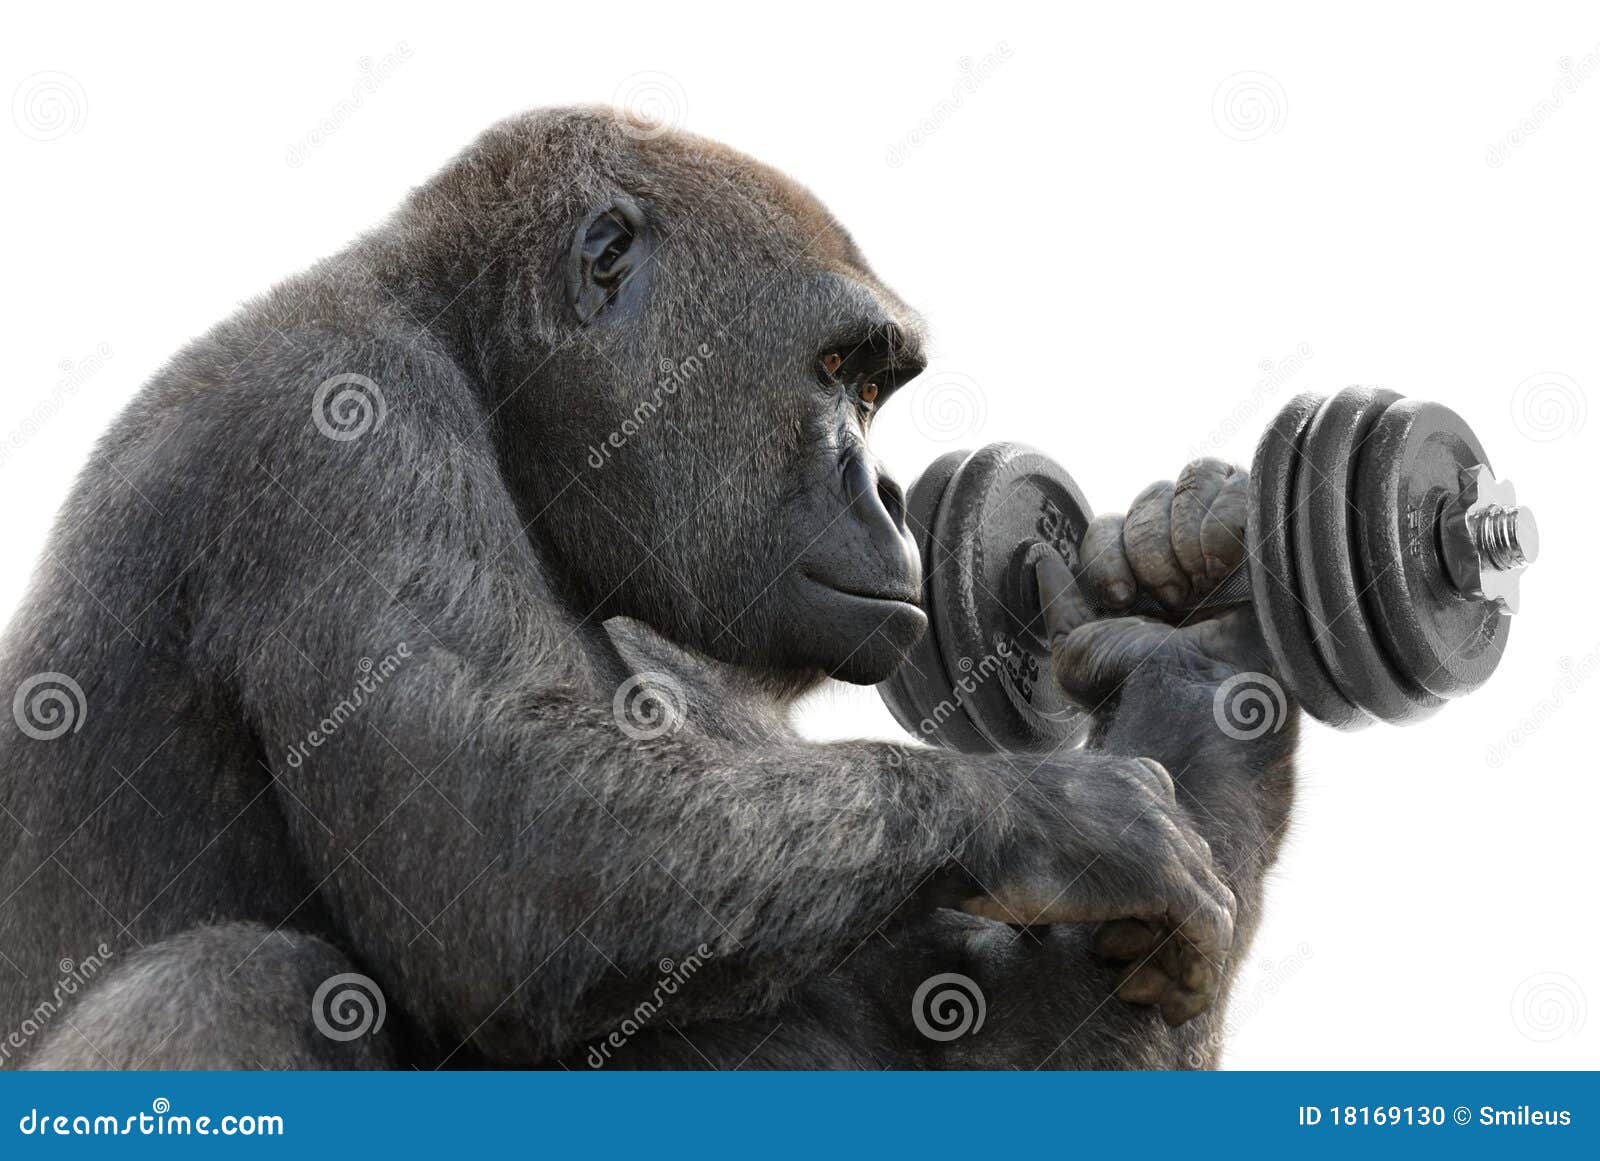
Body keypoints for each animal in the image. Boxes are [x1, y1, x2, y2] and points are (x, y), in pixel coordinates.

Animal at [0, 106, 1295, 1069]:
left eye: (876, 389)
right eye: (838, 370)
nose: (883, 488)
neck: (483, 374)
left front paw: (1204, 678)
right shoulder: (335, 416)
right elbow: (512, 861)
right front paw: (1058, 813)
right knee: (235, 980)